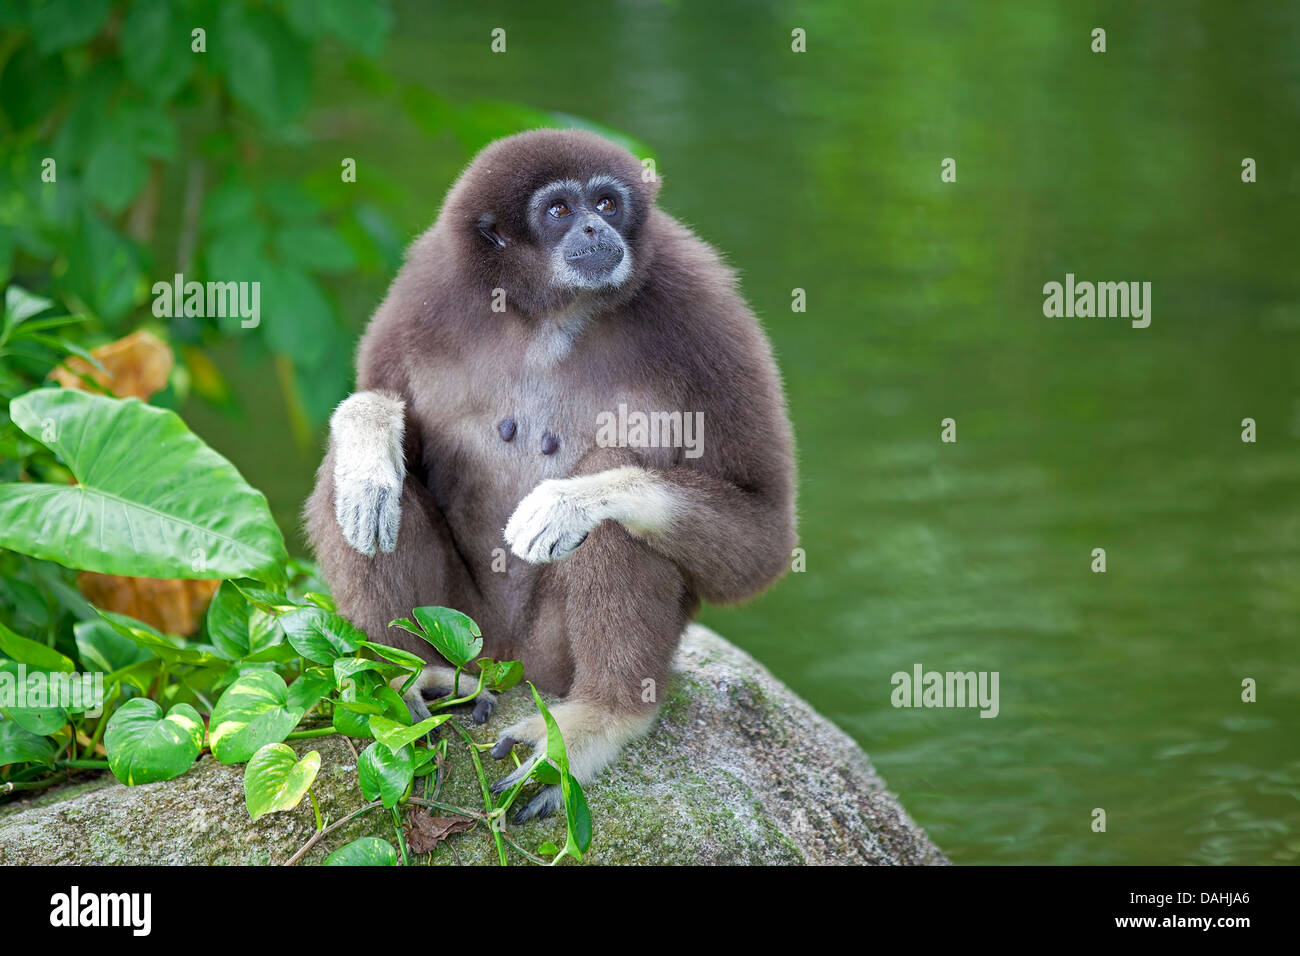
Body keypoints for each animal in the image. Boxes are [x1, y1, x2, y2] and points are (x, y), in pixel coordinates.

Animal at [304, 128, 796, 822]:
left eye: (608, 202)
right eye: (559, 210)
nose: (594, 227)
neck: (551, 313)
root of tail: (508, 665)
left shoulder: (704, 306)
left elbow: (763, 533)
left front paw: (570, 502)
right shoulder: (426, 285)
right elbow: (386, 424)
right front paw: (370, 442)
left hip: (545, 660)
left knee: (615, 520)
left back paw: (599, 716)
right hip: (463, 628)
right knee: (358, 491)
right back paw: (416, 670)